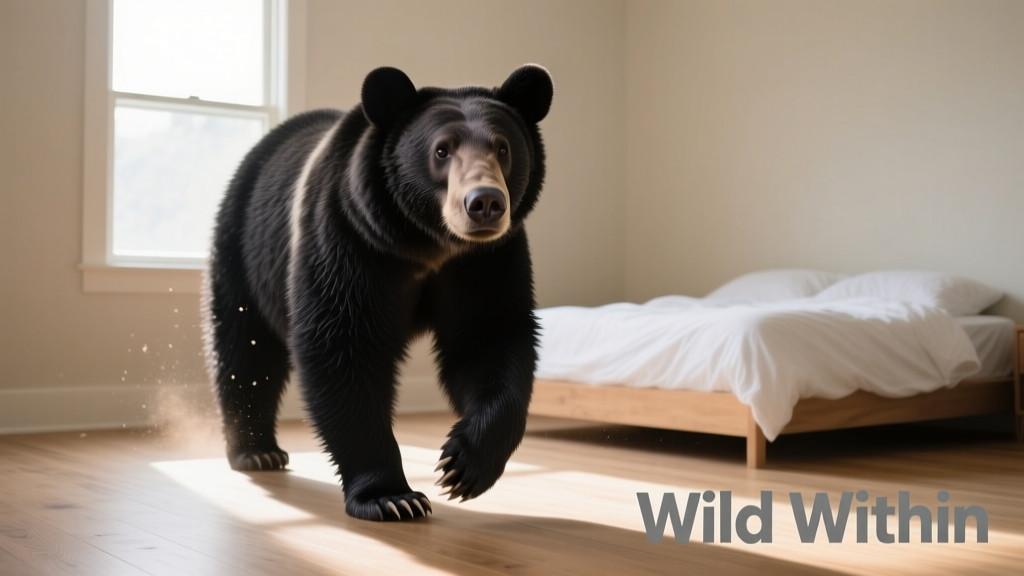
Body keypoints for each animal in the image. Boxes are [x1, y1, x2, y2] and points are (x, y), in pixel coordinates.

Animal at [201, 65, 553, 522]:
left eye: (503, 147)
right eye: (442, 150)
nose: (485, 203)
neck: (426, 244)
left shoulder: (485, 261)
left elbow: (490, 340)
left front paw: (463, 466)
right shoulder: (349, 241)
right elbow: (341, 346)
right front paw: (392, 496)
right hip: (243, 249)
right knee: (245, 346)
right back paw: (257, 451)